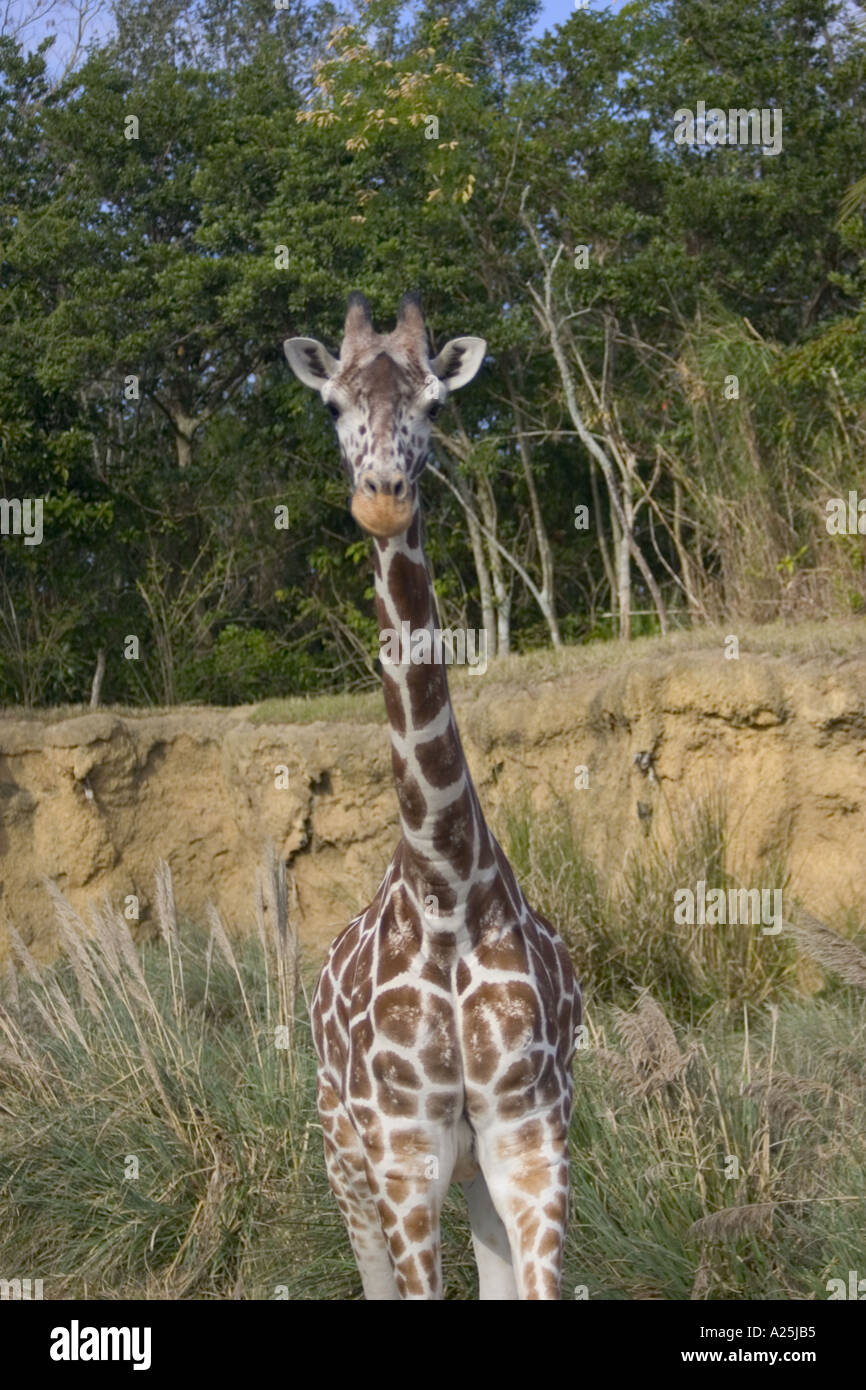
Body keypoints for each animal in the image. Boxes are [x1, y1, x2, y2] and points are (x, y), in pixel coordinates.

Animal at [283, 293, 581, 1300]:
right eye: (333, 404)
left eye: (438, 404)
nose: (383, 494)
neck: (447, 886)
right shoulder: (402, 1149)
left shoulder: (530, 1129)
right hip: (339, 1144)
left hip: (472, 1164)